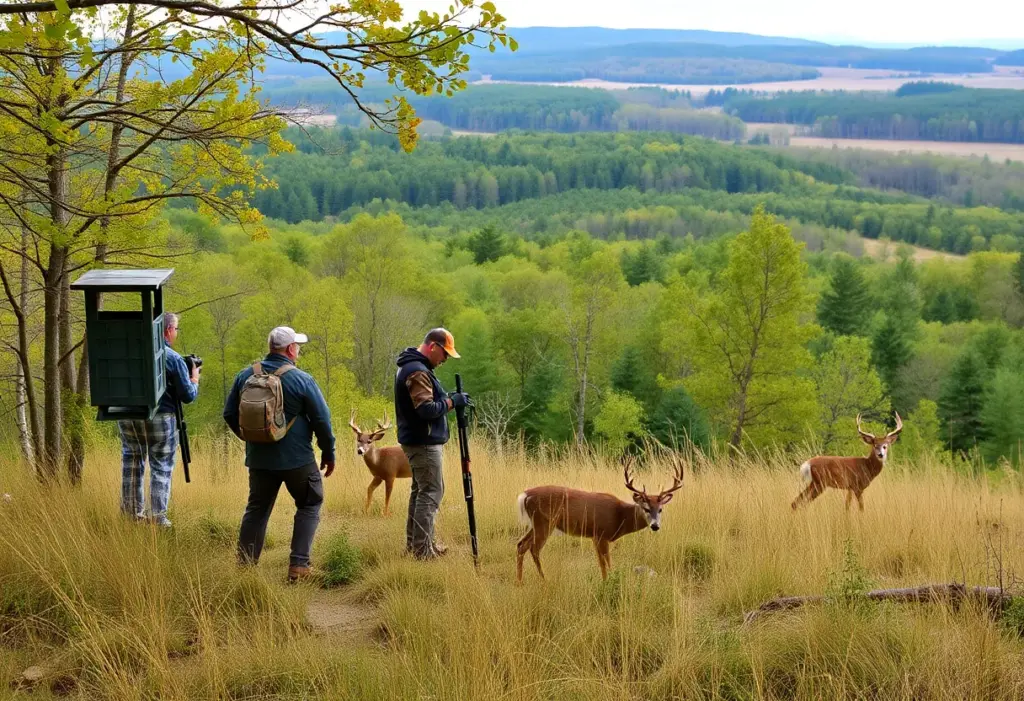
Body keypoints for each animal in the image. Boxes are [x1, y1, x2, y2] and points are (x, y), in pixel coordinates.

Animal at [515, 457, 684, 582]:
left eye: (660, 509)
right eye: (646, 508)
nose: (655, 526)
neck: (621, 516)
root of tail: (526, 495)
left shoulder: (595, 537)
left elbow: (601, 564)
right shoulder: (602, 534)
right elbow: (606, 564)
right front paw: (608, 583)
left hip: (536, 523)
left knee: (521, 544)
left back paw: (520, 581)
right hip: (544, 521)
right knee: (533, 548)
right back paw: (544, 579)